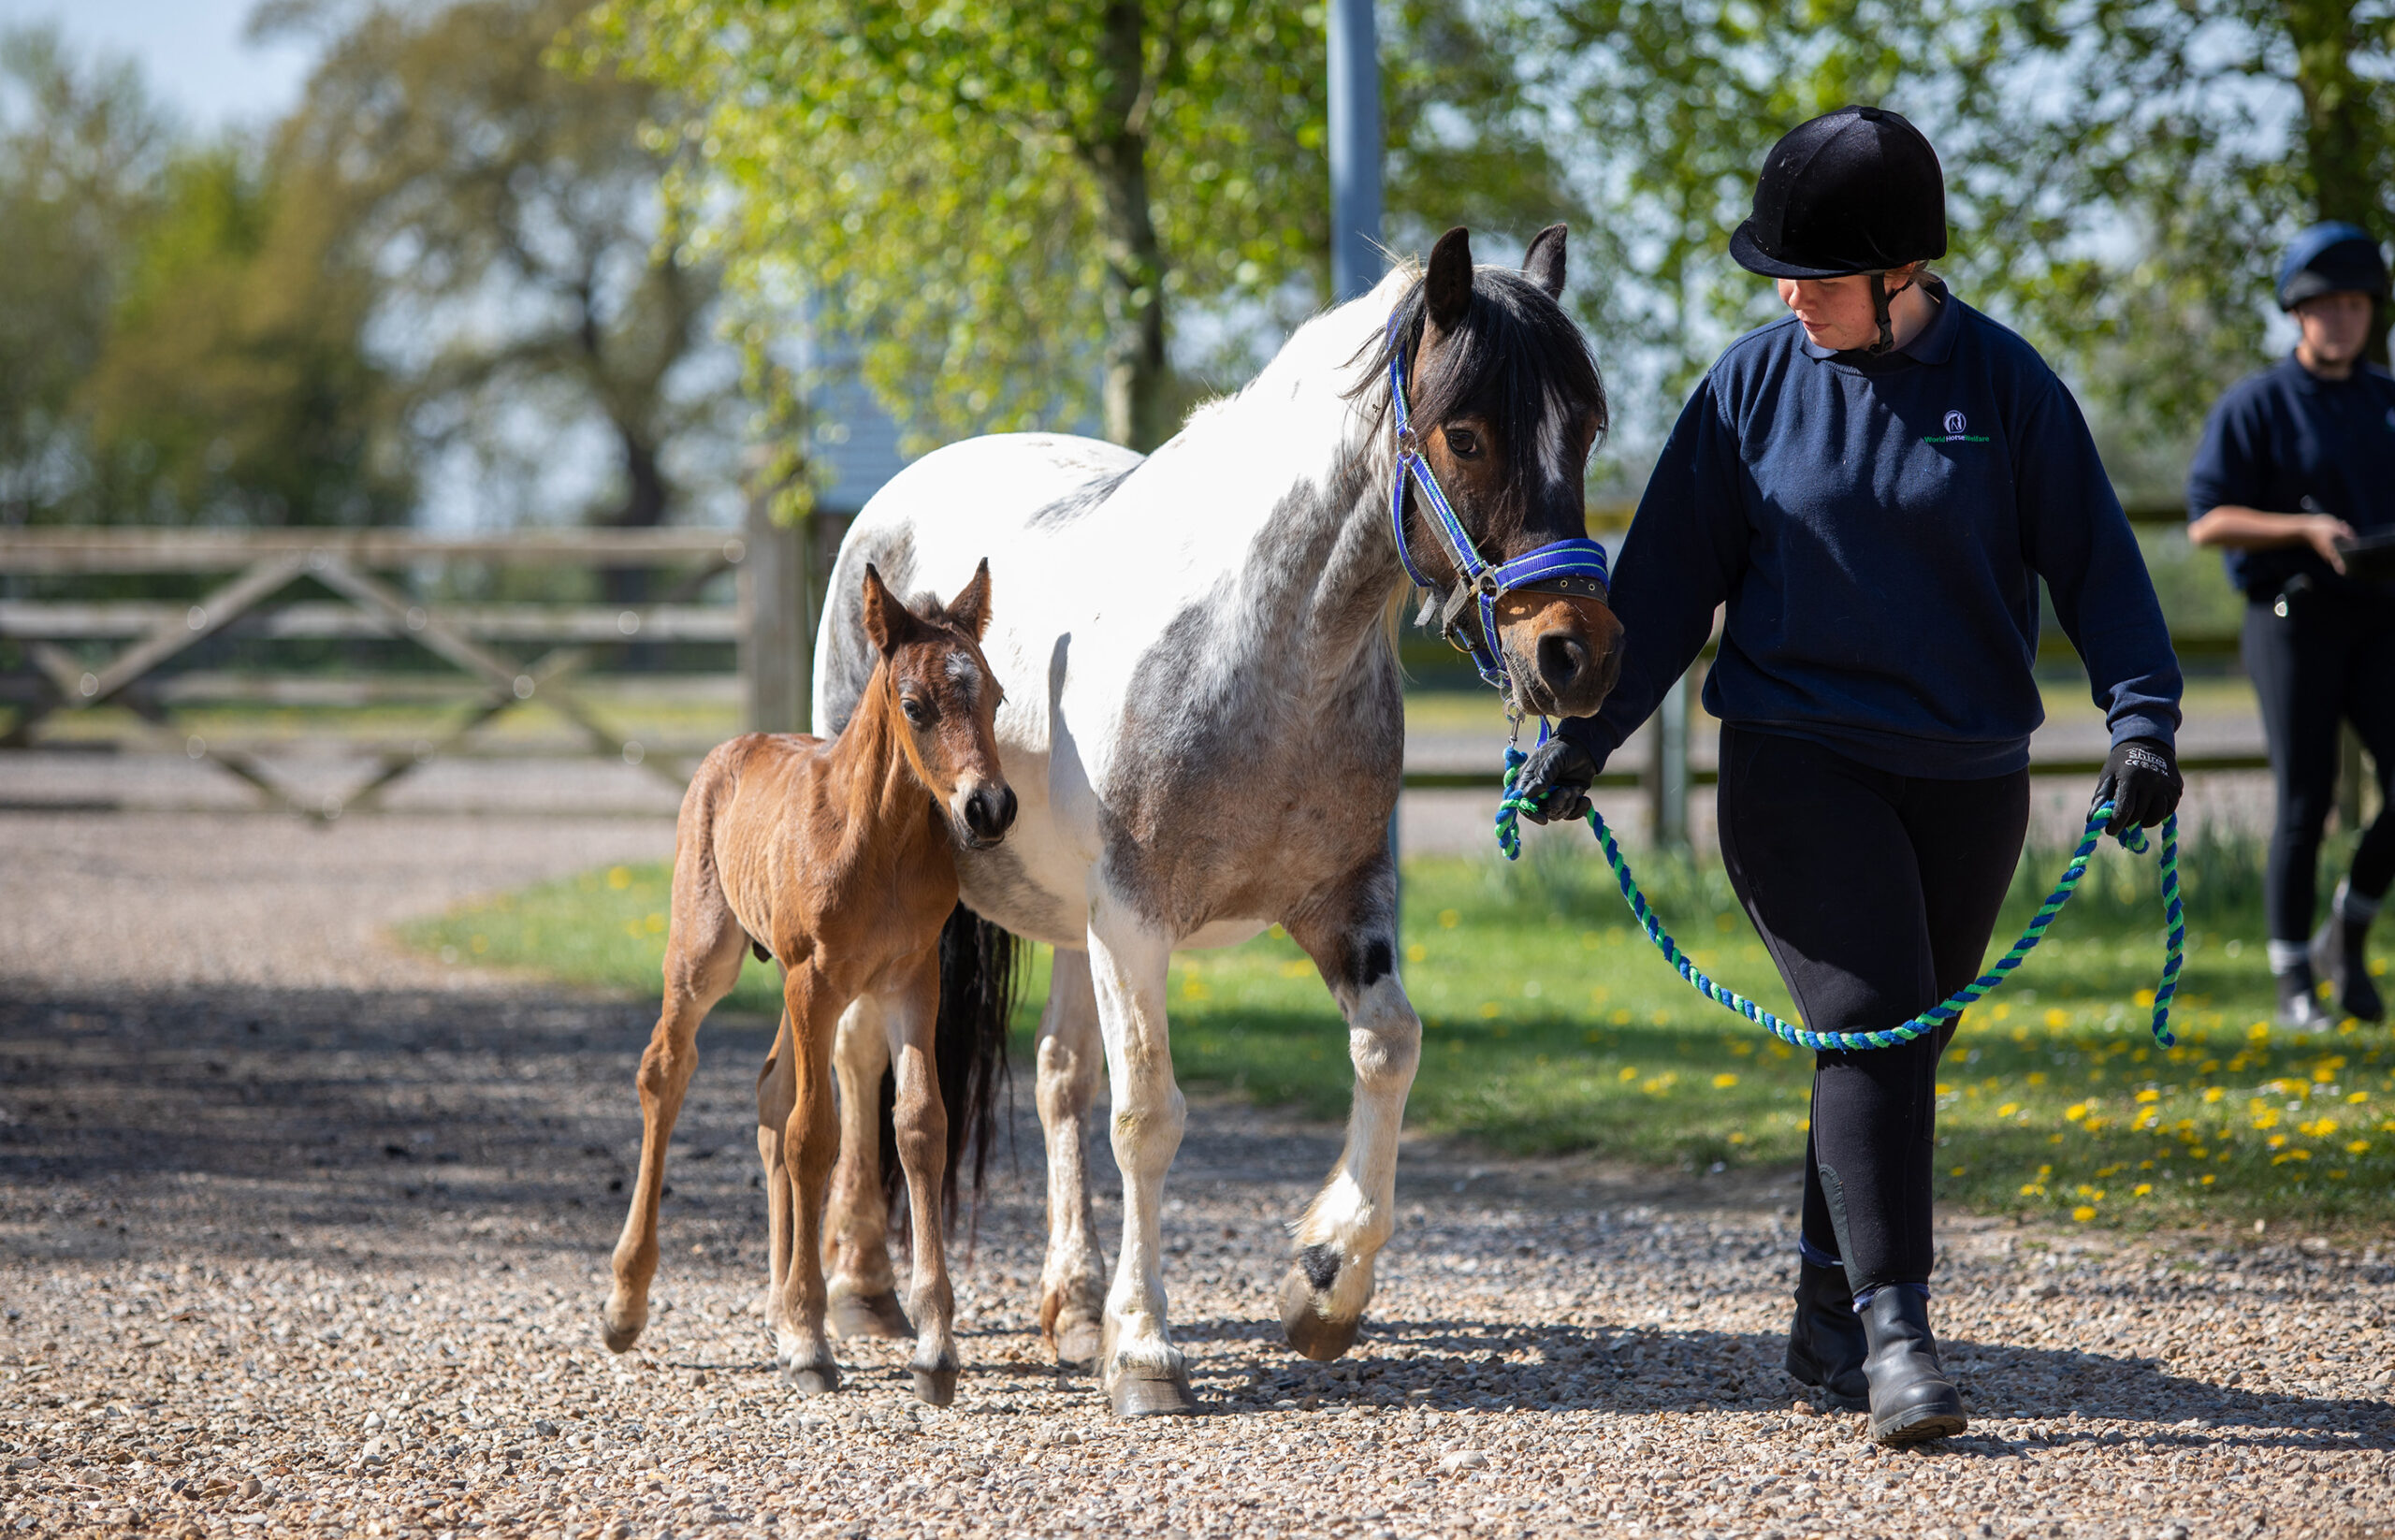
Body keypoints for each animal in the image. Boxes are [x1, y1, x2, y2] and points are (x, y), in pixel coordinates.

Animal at [600, 561, 1017, 1407]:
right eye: (916, 706)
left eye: (994, 698)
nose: (989, 808)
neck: (881, 839)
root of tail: (738, 744)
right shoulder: (814, 979)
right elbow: (813, 1136)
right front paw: (809, 1342)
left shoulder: (909, 981)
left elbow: (920, 1126)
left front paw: (934, 1349)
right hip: (707, 952)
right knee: (667, 1071)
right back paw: (628, 1303)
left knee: (767, 1091)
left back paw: (772, 1302)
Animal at [812, 226, 1619, 1417]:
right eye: (1466, 433)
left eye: (1588, 427)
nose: (1576, 653)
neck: (1261, 651)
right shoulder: (1135, 921)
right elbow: (1148, 1113)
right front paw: (1147, 1352)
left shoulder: (1342, 906)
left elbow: (1390, 1046)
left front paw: (1322, 1279)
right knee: (862, 1049)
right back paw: (865, 1289)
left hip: (1067, 917)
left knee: (1056, 1074)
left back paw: (1071, 1304)